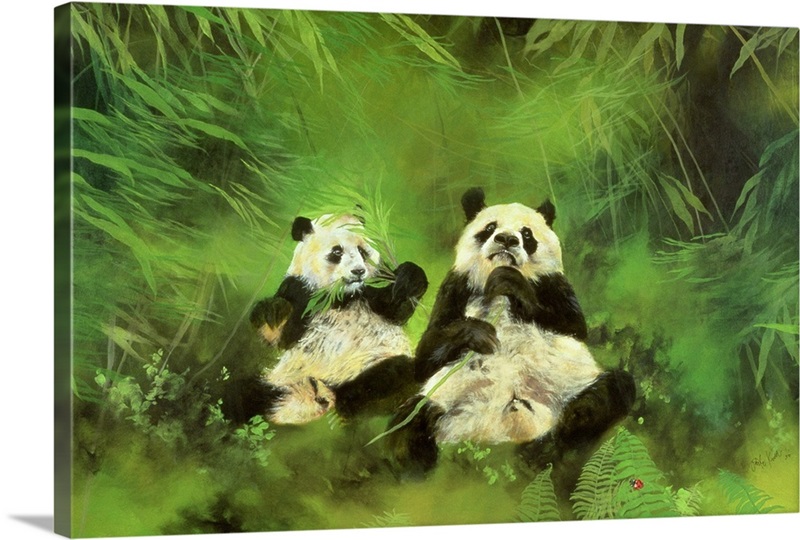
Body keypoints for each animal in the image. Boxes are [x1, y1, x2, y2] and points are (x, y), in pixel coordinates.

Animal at [225, 213, 428, 425]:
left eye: (362, 251)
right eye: (337, 252)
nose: (358, 271)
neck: (340, 297)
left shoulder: (370, 294)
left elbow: (396, 309)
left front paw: (408, 278)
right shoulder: (300, 290)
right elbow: (282, 337)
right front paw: (274, 313)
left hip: (369, 364)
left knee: (394, 375)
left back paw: (347, 403)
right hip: (282, 377)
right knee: (241, 393)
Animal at [386, 187, 635, 475]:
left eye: (527, 234)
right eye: (490, 227)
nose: (506, 239)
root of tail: (497, 431)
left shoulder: (553, 284)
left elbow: (573, 326)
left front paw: (512, 283)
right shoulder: (457, 287)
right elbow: (427, 354)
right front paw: (479, 334)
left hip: (570, 389)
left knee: (607, 395)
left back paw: (541, 451)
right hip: (443, 397)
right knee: (410, 418)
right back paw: (414, 461)